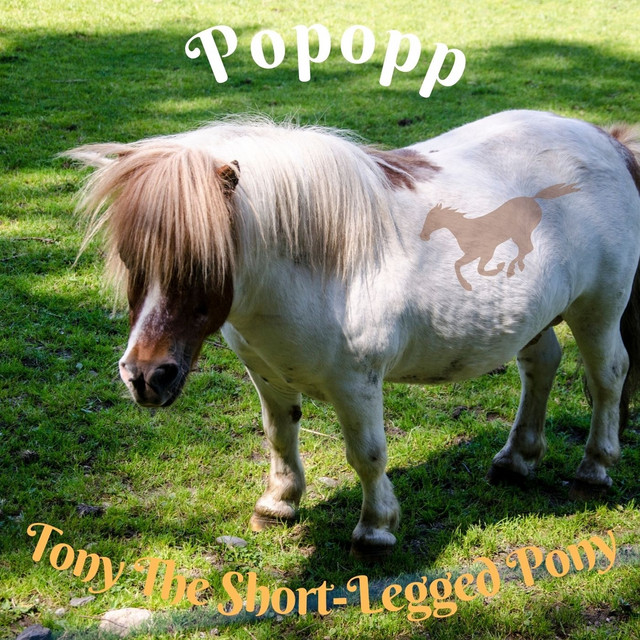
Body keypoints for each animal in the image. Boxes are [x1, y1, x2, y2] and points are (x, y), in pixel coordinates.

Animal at [66, 110, 640, 559]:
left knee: (608, 377)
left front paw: (375, 530)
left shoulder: (356, 384)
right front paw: (278, 504)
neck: (316, 265)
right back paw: (516, 460)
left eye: (203, 264)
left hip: (598, 311)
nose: (144, 377)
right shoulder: (267, 374)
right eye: (129, 257)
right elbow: (279, 435)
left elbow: (366, 454)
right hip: (531, 316)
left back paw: (594, 469)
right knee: (541, 364)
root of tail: (606, 139)